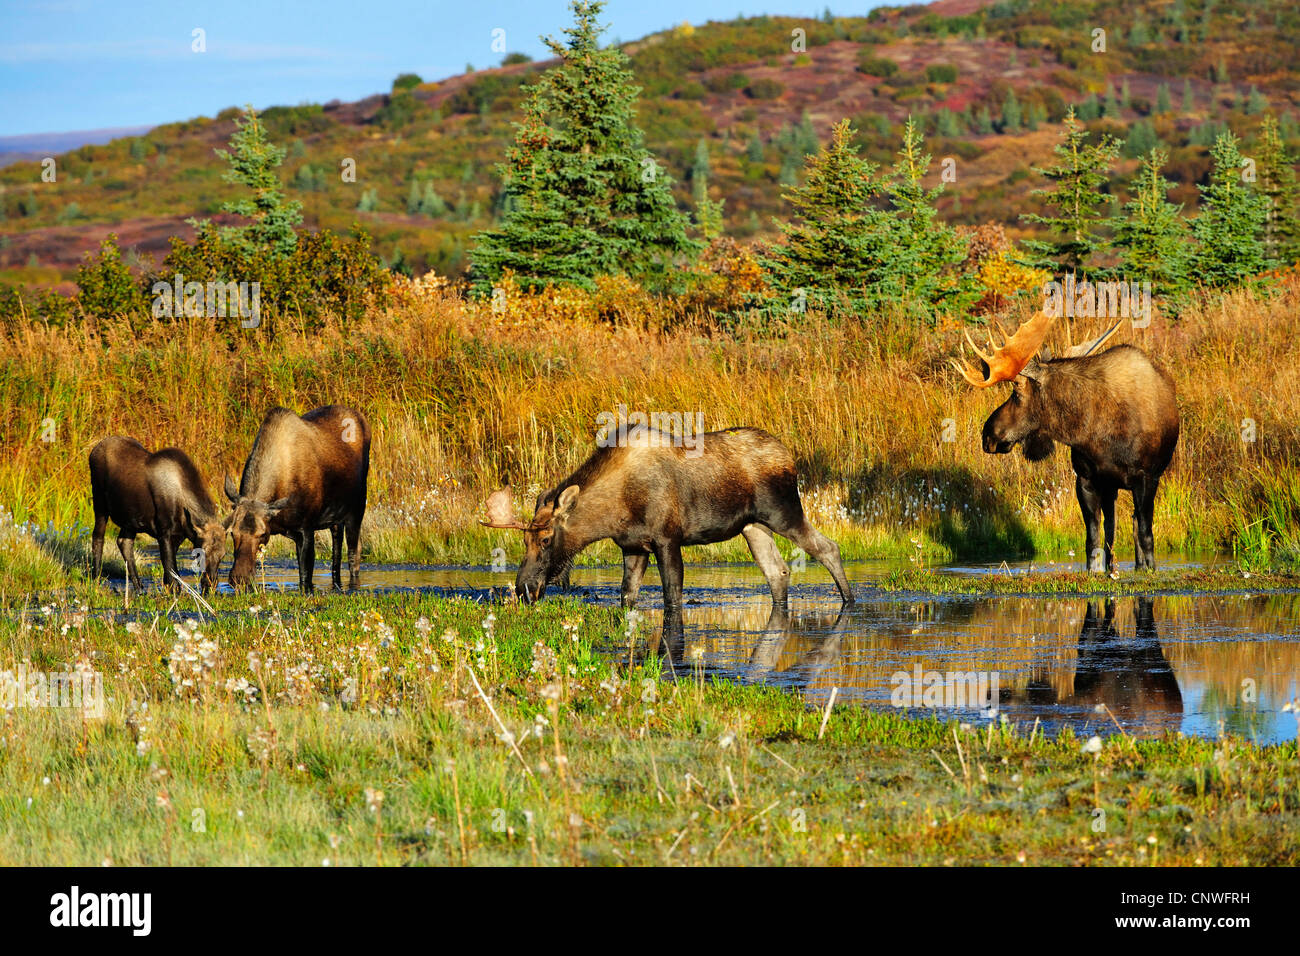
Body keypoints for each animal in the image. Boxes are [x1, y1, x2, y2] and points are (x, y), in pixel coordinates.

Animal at [89, 439, 226, 590]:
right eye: (201, 553)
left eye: (223, 555)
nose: (210, 583)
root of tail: (93, 451)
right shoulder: (164, 532)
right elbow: (173, 575)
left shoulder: (178, 536)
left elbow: (168, 572)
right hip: (100, 503)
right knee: (98, 537)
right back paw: (96, 579)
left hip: (130, 519)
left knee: (124, 542)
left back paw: (139, 587)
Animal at [223, 403, 371, 590]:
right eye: (232, 533)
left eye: (262, 534)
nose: (239, 578)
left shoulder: (306, 528)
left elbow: (305, 579)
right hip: (336, 517)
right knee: (336, 554)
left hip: (357, 508)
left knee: (354, 554)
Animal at [483, 424, 857, 642]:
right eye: (524, 540)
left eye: (546, 539)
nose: (524, 588)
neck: (614, 512)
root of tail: (789, 456)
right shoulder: (633, 547)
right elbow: (627, 596)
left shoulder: (667, 539)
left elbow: (671, 599)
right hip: (752, 526)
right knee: (777, 571)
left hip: (783, 512)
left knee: (828, 547)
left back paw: (849, 602)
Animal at [951, 314, 1185, 572]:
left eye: (1017, 391)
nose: (988, 435)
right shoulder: (1086, 479)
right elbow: (1093, 537)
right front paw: (1094, 572)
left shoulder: (1146, 477)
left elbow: (1146, 533)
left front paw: (1151, 569)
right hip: (1111, 487)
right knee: (1112, 530)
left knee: (1134, 523)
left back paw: (1140, 566)